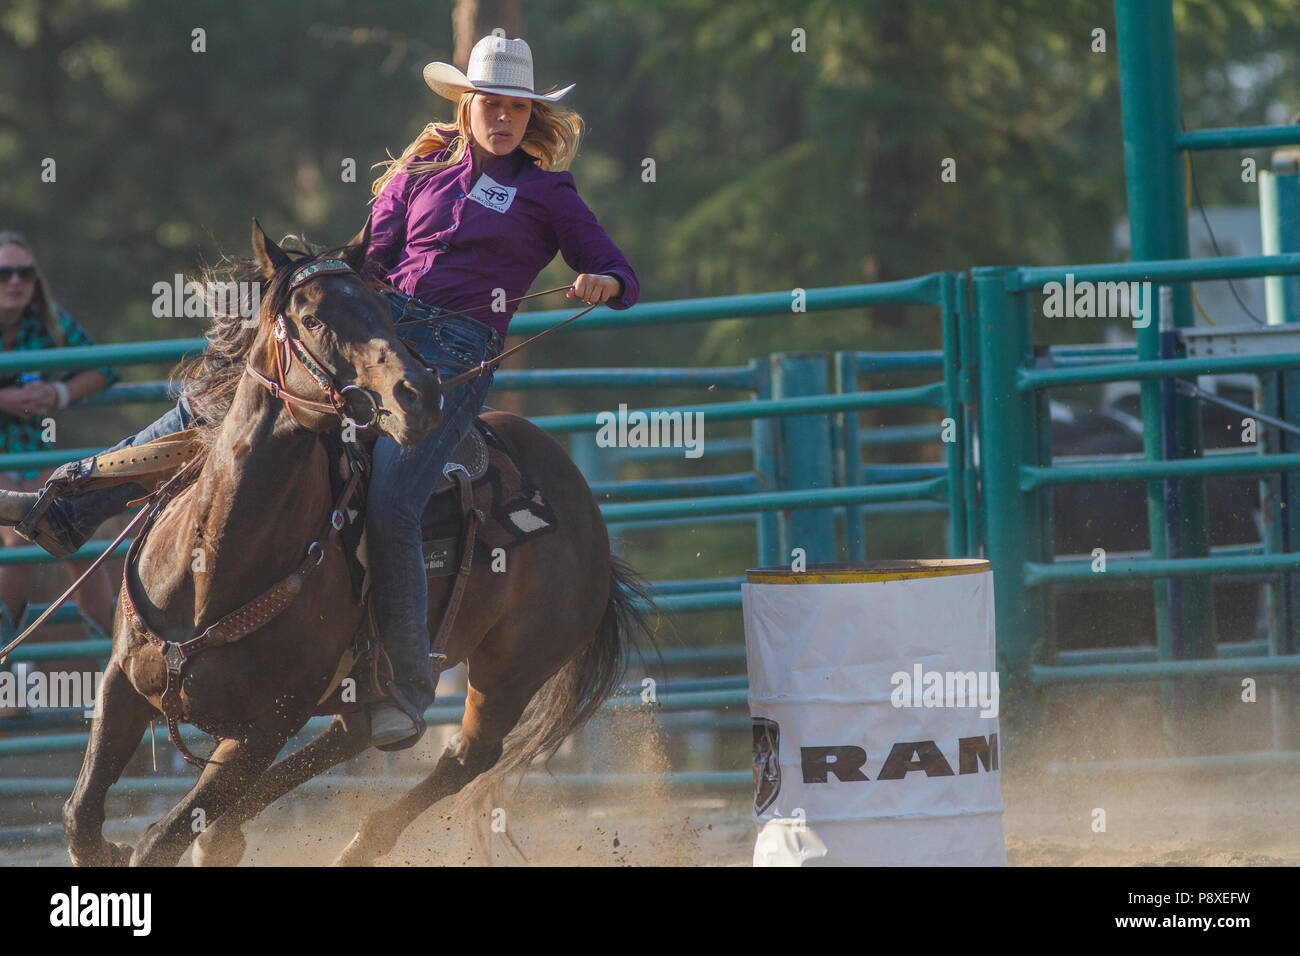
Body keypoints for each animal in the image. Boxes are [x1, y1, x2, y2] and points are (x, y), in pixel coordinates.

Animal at [63, 221, 653, 866]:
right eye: (312, 319)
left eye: (382, 311)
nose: (418, 394)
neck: (210, 565)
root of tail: (582, 503)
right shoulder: (123, 683)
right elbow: (82, 817)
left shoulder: (267, 725)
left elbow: (162, 838)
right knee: (354, 733)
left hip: (513, 670)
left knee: (466, 756)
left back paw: (355, 843)